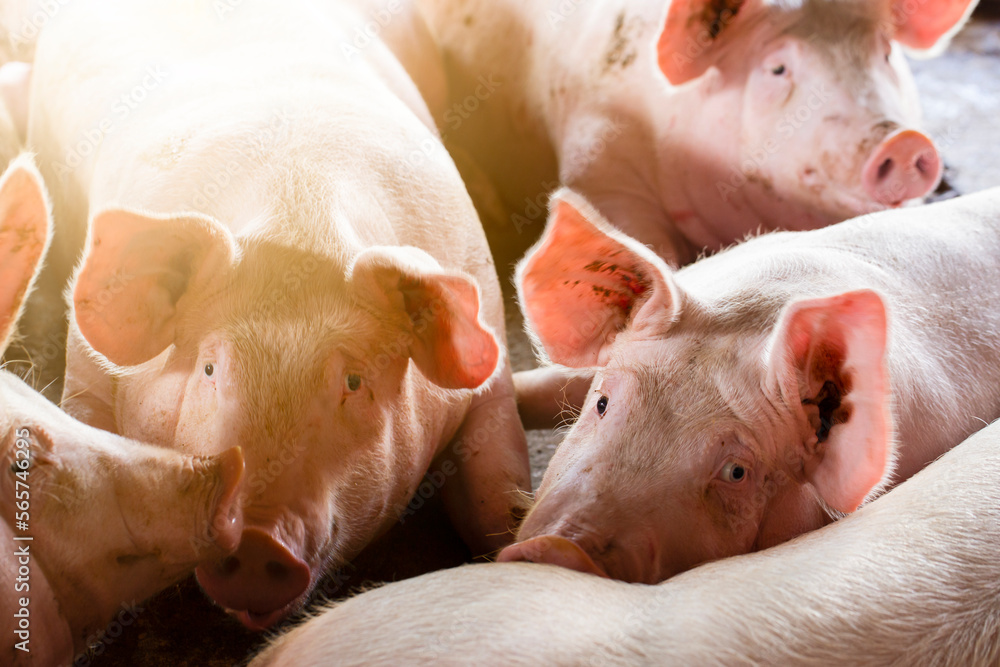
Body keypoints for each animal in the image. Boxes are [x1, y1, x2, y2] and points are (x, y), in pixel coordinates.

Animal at [29, 0, 530, 629]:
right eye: (210, 369)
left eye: (353, 382)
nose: (256, 538)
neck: (299, 215)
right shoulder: (87, 367)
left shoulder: (491, 357)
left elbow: (498, 491)